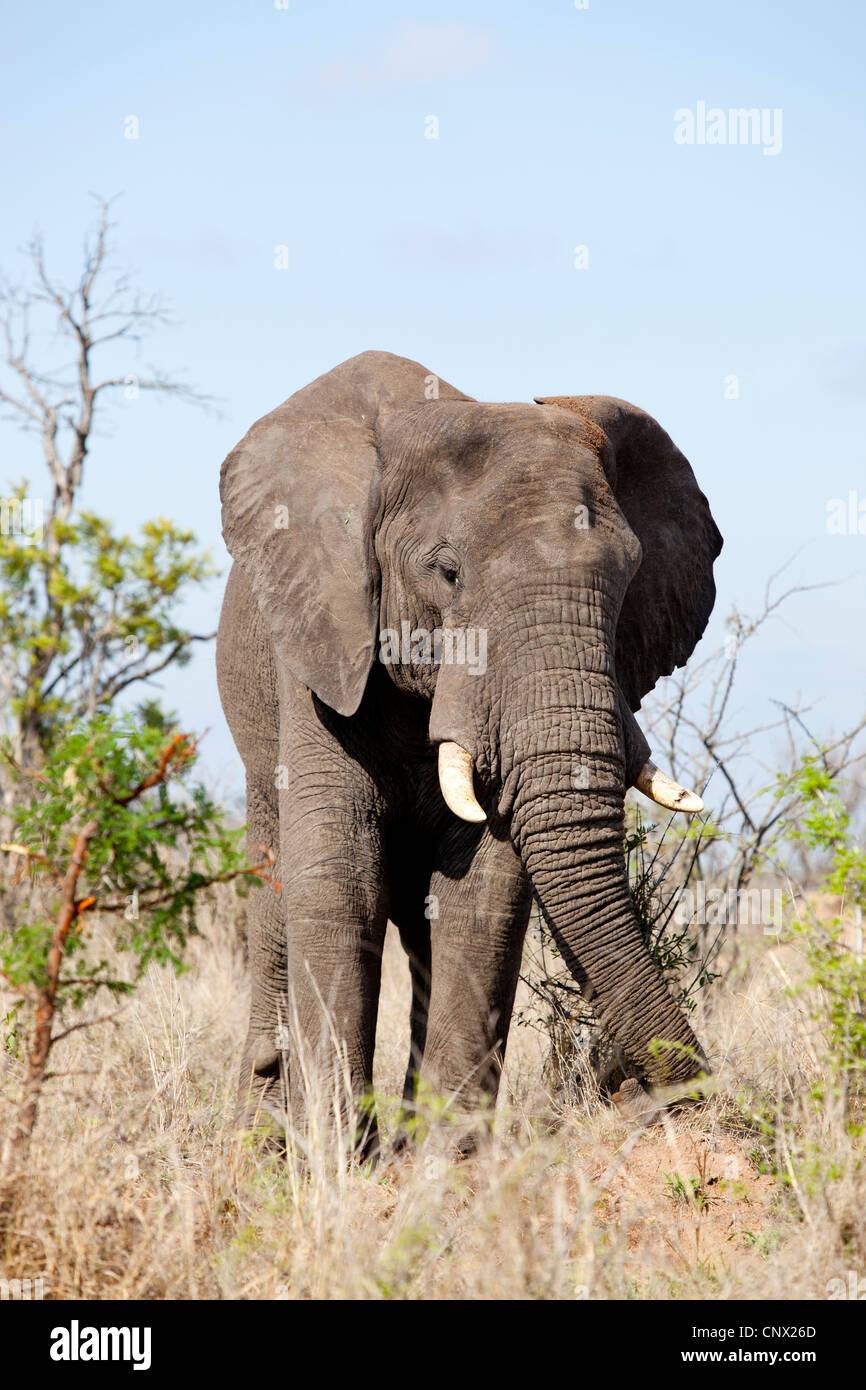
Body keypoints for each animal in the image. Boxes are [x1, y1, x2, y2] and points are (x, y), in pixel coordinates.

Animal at [216, 350, 723, 1155]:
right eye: (446, 572)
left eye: (628, 577)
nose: (669, 1101)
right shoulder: (322, 635)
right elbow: (340, 873)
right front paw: (336, 1154)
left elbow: (484, 886)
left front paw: (446, 1159)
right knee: (275, 900)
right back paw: (260, 1137)